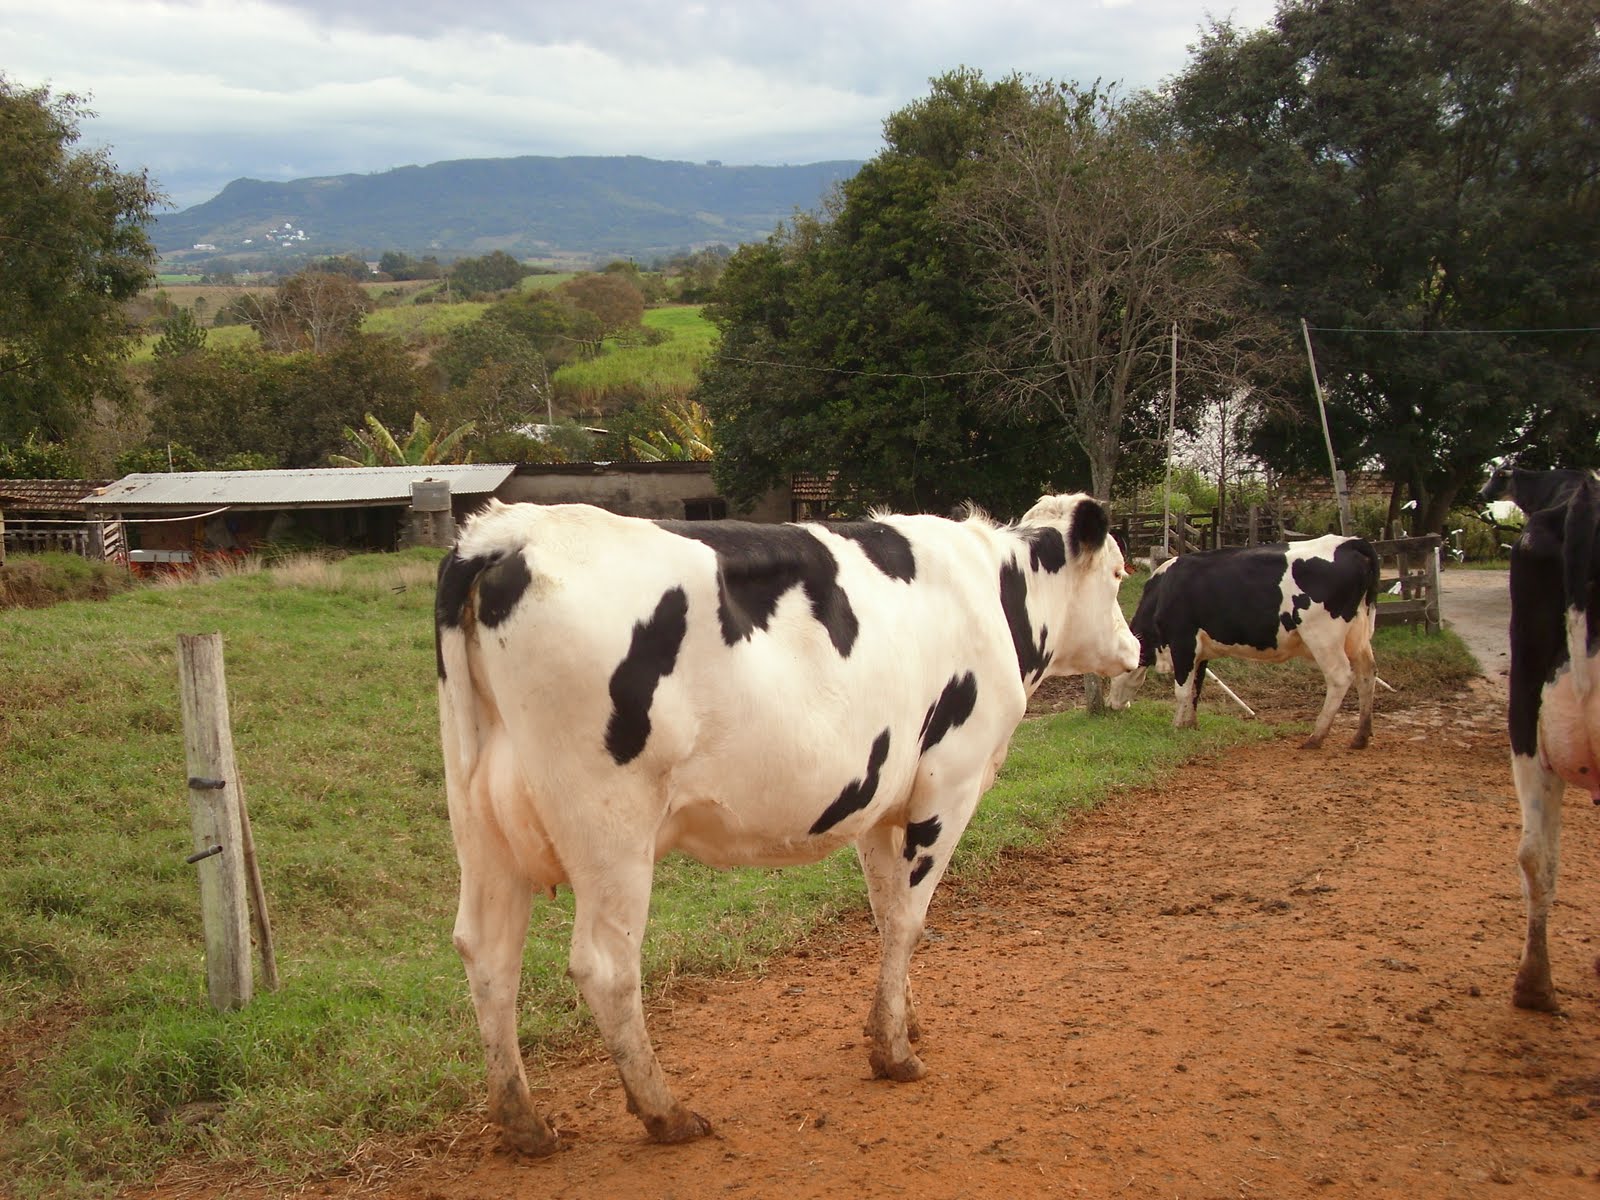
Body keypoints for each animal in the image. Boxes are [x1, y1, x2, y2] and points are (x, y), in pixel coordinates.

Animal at [434, 494, 1140, 1155]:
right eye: (1119, 571)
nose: (1135, 648)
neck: (995, 590)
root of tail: (507, 531)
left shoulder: (882, 800)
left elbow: (887, 914)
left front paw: (899, 1020)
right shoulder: (950, 781)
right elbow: (910, 919)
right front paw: (895, 1052)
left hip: (479, 821)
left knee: (487, 952)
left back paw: (524, 1123)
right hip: (611, 824)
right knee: (605, 966)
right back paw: (666, 1113)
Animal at [1105, 534, 1380, 750]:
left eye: (1112, 675)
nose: (1110, 705)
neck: (1164, 591)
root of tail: (1349, 543)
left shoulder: (1183, 644)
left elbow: (1182, 690)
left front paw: (1175, 726)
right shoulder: (1200, 652)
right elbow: (1196, 688)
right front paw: (1190, 724)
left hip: (1323, 636)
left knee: (1340, 677)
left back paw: (1317, 736)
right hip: (1358, 636)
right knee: (1367, 675)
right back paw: (1361, 736)